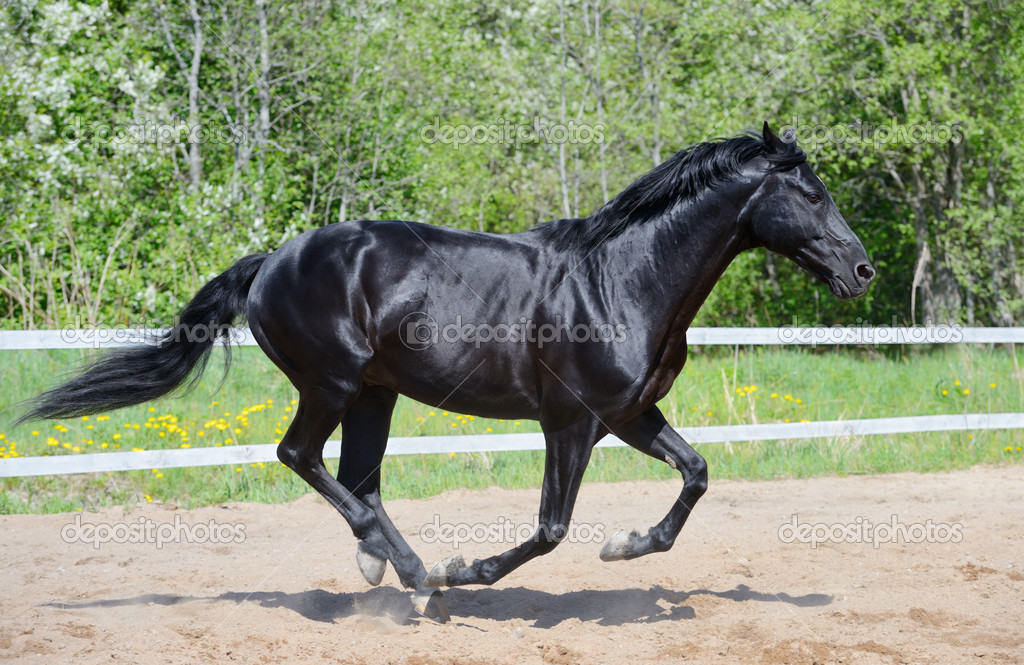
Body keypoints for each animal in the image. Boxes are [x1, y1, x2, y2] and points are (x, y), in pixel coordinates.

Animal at [22, 123, 874, 622]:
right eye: (812, 192)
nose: (861, 270)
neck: (622, 281)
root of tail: (273, 260)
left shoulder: (630, 414)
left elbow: (696, 474)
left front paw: (626, 545)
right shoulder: (571, 422)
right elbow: (549, 529)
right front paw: (468, 567)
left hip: (376, 393)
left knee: (357, 479)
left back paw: (388, 566)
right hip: (332, 382)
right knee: (300, 456)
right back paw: (416, 572)